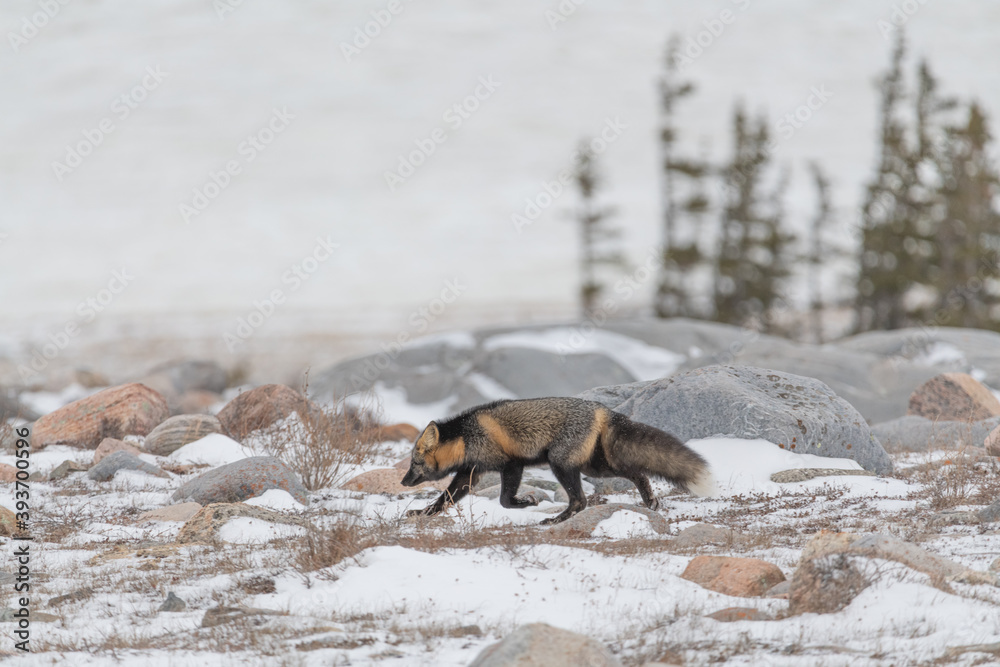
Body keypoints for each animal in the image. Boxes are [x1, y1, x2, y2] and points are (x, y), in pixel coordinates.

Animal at [400, 397, 716, 525]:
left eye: (414, 464)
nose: (403, 481)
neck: (467, 436)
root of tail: (602, 409)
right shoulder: (470, 473)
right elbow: (444, 499)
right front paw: (421, 513)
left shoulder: (512, 464)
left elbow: (504, 499)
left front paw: (526, 503)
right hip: (594, 466)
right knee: (637, 473)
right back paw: (650, 501)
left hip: (561, 463)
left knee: (581, 501)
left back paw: (556, 519)